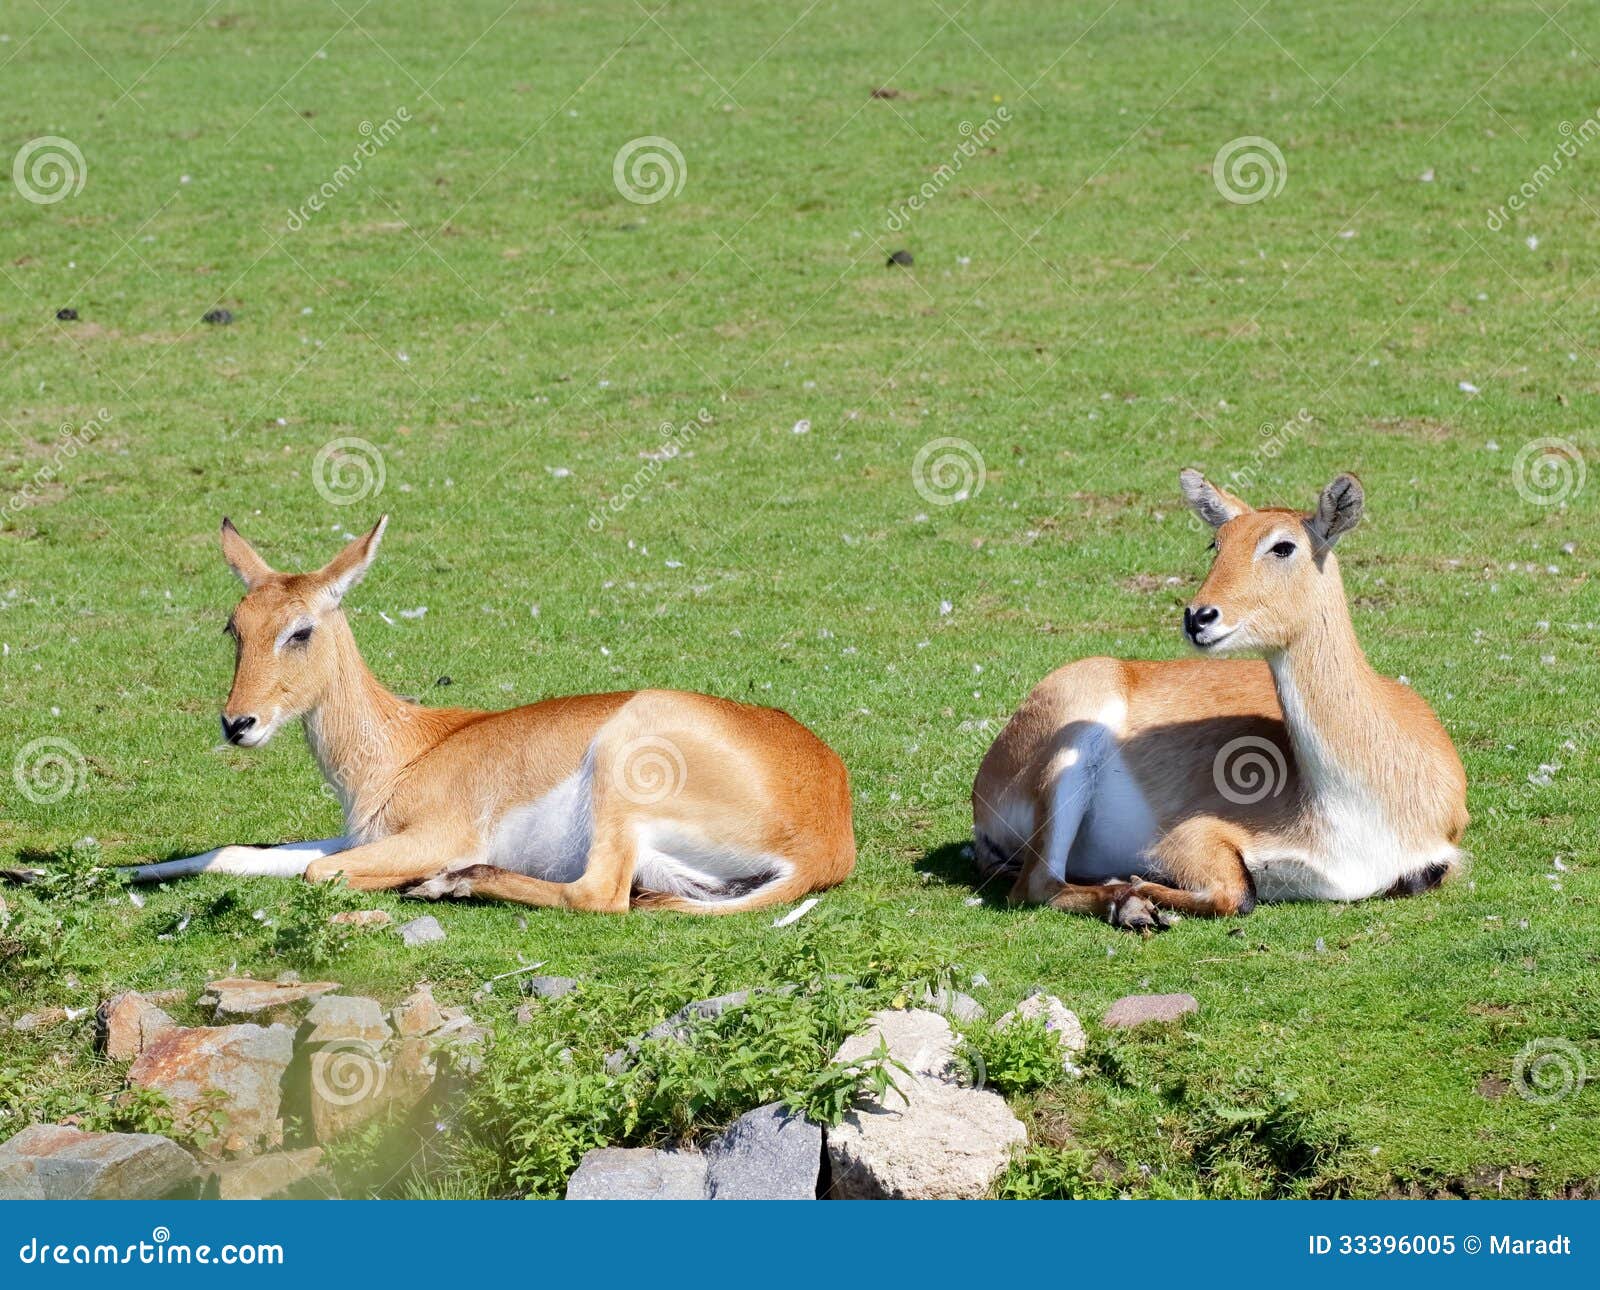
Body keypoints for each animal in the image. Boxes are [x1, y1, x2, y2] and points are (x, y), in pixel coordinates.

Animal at [126, 517, 856, 913]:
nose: (237, 723)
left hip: (621, 767)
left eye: (300, 629)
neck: (404, 747)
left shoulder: (431, 834)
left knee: (599, 894)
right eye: (236, 626)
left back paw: (446, 884)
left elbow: (315, 872)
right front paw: (131, 872)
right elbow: (233, 854)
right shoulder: (359, 836)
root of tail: (826, 831)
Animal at [971, 470, 1468, 930]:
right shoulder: (1189, 836)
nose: (1198, 616)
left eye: (1282, 546)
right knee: (1037, 884)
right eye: (1217, 543)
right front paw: (1140, 888)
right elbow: (1237, 894)